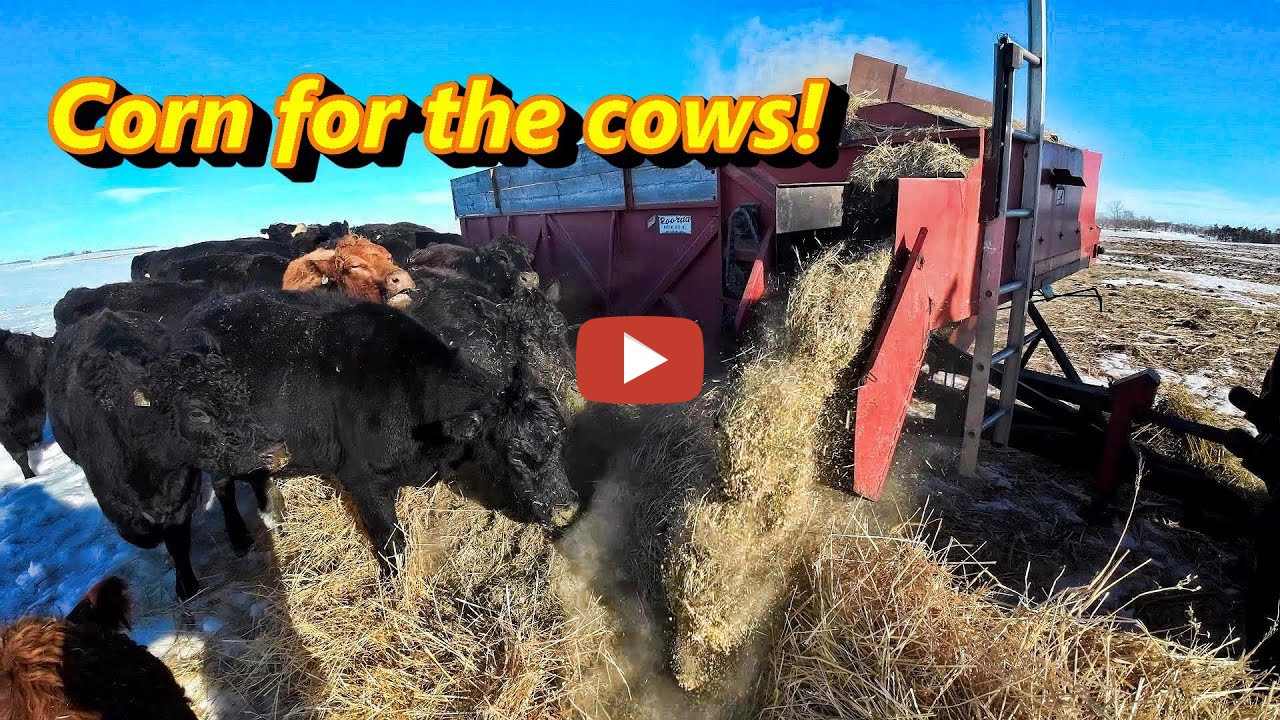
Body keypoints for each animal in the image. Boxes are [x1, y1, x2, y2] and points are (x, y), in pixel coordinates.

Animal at [46, 311, 289, 599]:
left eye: (245, 395)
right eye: (196, 413)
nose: (276, 451)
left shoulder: (183, 491)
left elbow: (177, 540)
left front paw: (186, 585)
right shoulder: (113, 501)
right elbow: (143, 533)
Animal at [178, 290, 580, 575]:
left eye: (561, 439)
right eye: (516, 455)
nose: (566, 510)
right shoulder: (360, 478)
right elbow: (392, 542)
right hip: (213, 442)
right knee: (222, 485)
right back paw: (240, 538)